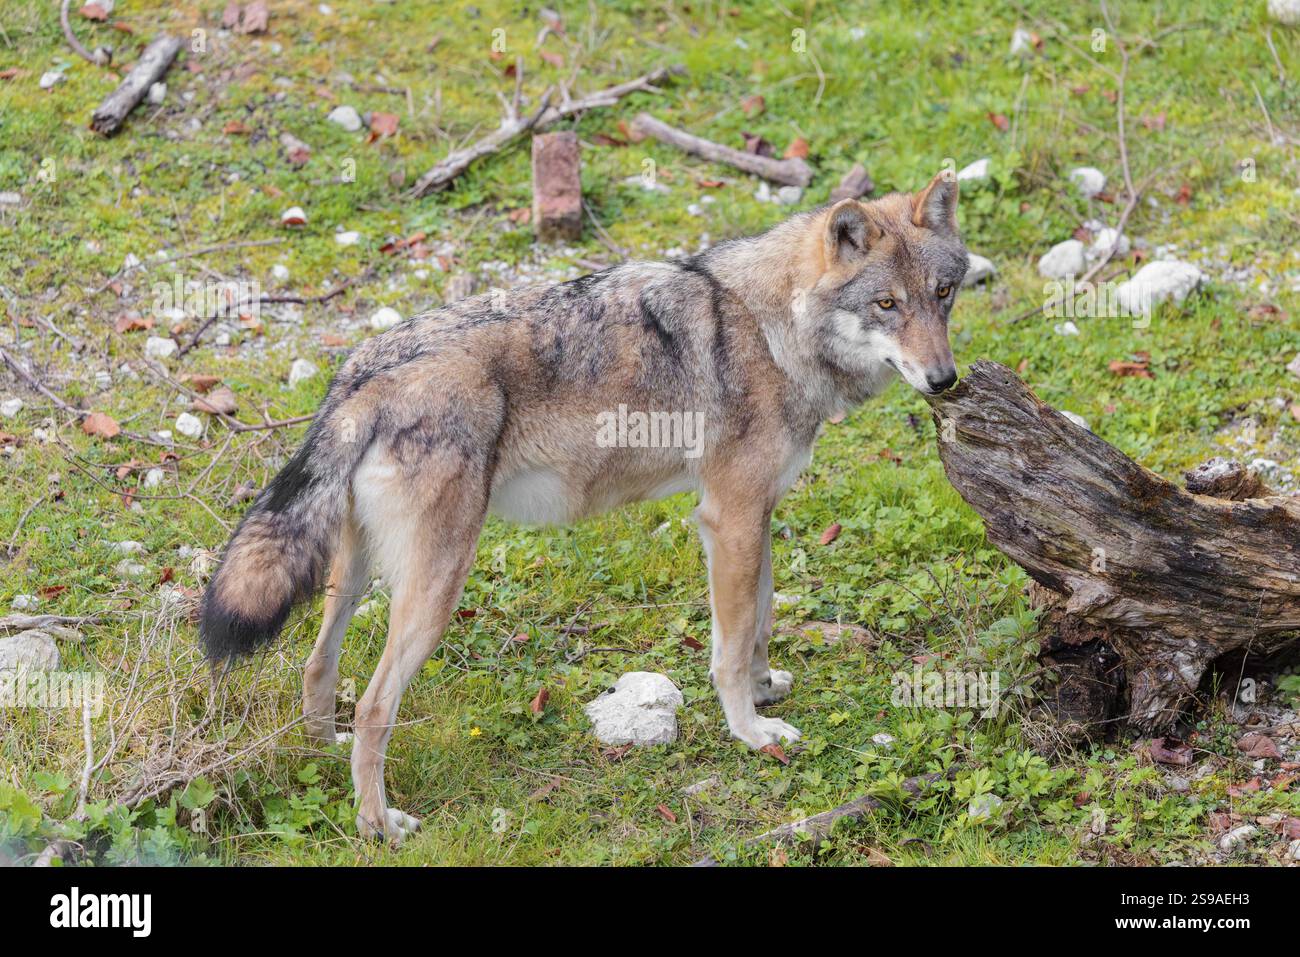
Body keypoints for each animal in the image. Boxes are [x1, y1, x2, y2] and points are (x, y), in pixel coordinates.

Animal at [199, 171, 968, 841]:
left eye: (943, 294)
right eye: (887, 306)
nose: (945, 379)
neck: (773, 326)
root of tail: (362, 372)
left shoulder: (757, 516)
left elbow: (760, 621)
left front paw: (764, 689)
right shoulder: (728, 516)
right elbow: (728, 645)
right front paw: (750, 732)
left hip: (356, 577)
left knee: (317, 665)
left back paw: (320, 752)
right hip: (435, 589)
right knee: (373, 706)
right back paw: (377, 824)